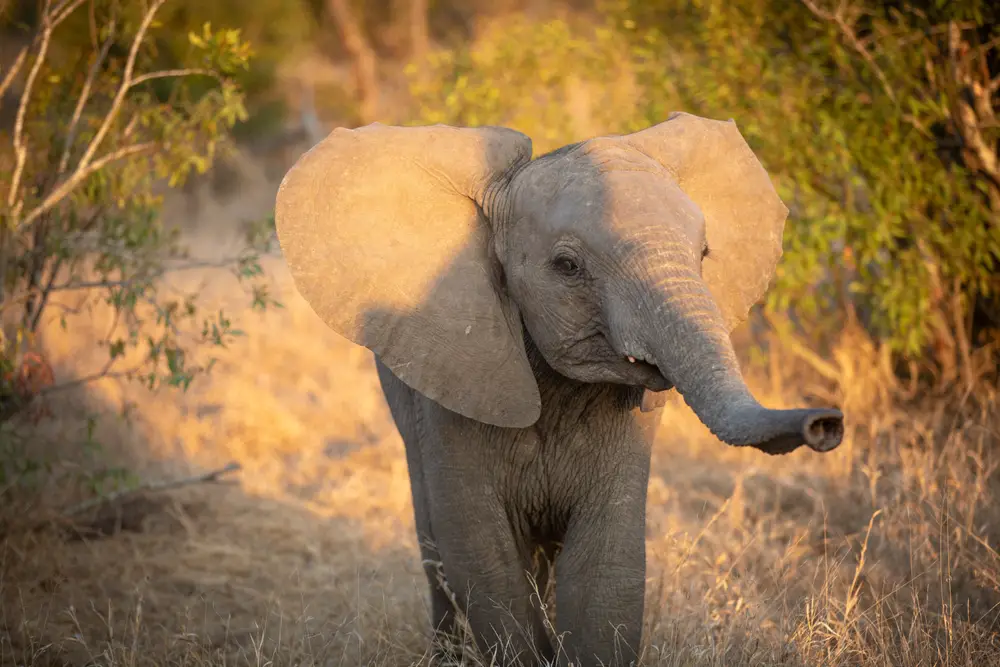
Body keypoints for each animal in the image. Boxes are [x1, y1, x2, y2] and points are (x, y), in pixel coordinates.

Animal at [274, 112, 845, 666]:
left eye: (705, 255)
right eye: (567, 266)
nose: (826, 423)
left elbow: (606, 565)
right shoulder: (457, 379)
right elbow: (482, 557)